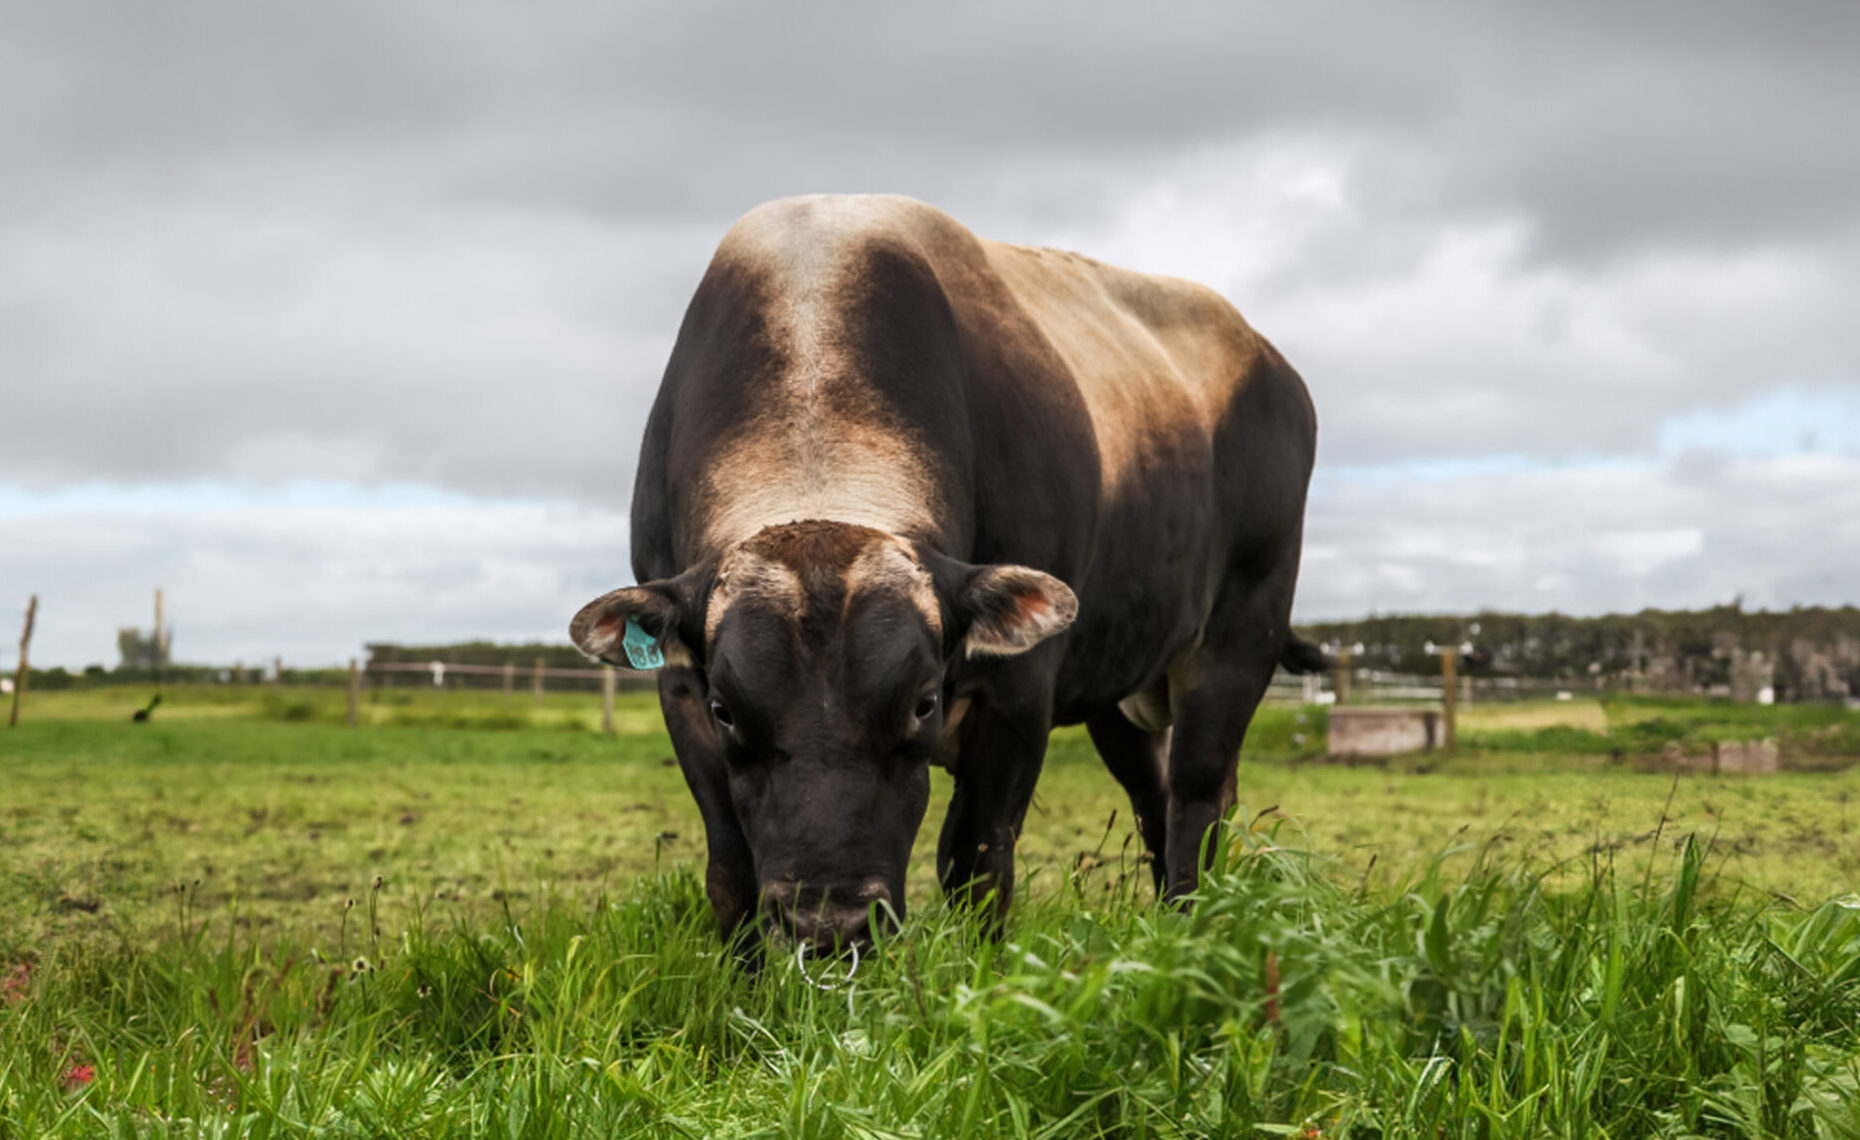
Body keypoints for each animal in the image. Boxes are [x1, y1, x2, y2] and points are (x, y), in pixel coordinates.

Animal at [571, 194, 1317, 954]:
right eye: (727, 709)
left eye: (923, 702)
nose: (830, 925)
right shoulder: (681, 690)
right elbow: (730, 870)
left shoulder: (1019, 691)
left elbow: (977, 865)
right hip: (1122, 689)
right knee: (1154, 797)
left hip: (1239, 636)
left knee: (1199, 799)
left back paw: (1196, 926)